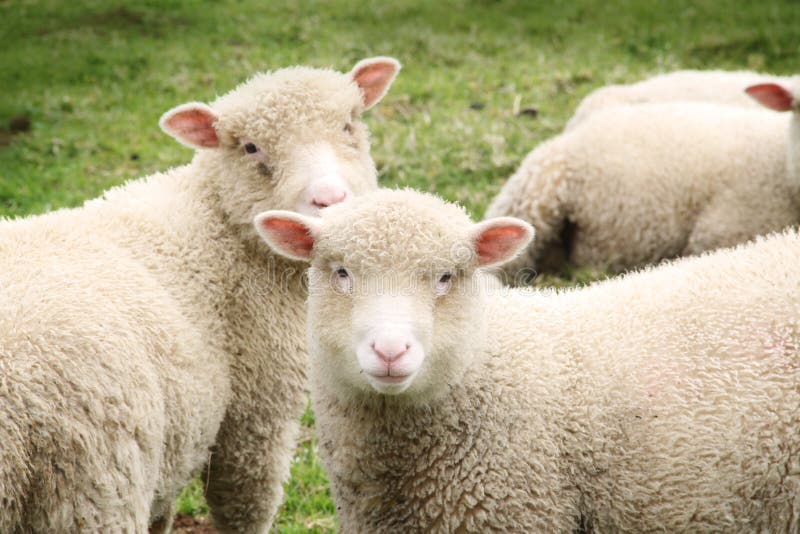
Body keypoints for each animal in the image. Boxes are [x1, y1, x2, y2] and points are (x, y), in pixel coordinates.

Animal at [0, 56, 400, 533]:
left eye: (348, 125)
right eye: (250, 148)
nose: (331, 198)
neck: (218, 222)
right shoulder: (255, 414)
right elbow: (244, 508)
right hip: (90, 491)